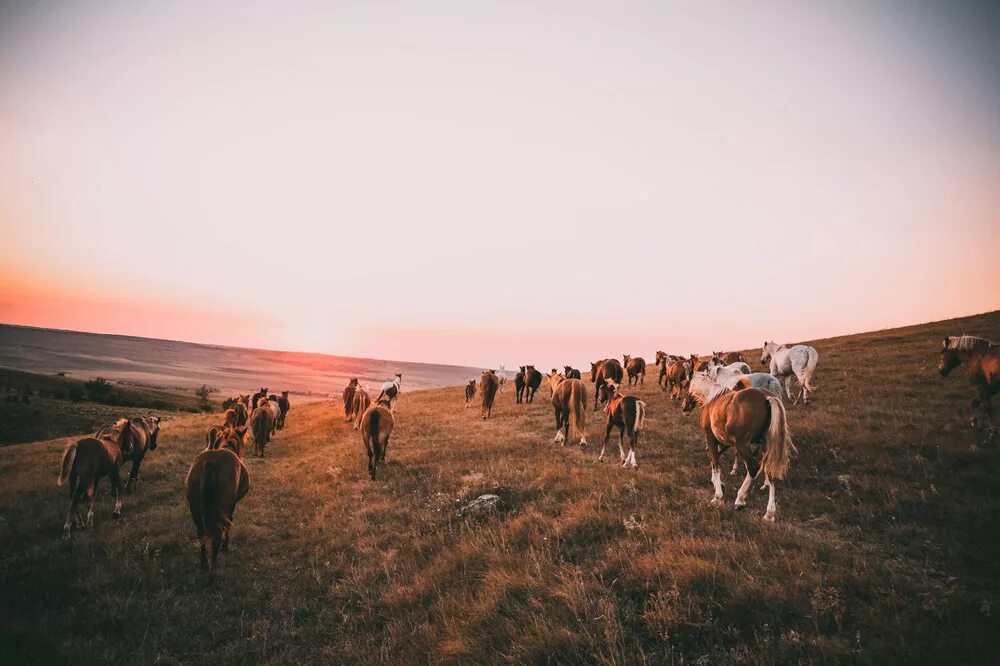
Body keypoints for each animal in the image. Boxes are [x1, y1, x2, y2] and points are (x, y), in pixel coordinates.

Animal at [186, 428, 252, 580]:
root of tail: (210, 463)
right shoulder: (230, 506)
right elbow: (229, 523)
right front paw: (225, 546)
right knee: (216, 536)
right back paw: (213, 570)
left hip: (196, 512)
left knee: (201, 534)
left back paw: (204, 562)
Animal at [680, 374, 796, 520]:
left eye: (685, 386)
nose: (684, 407)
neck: (712, 397)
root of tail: (767, 397)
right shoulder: (725, 442)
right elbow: (715, 458)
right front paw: (718, 483)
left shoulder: (711, 439)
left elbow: (715, 463)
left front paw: (718, 496)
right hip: (766, 446)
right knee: (769, 473)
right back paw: (769, 513)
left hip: (743, 445)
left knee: (753, 467)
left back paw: (740, 499)